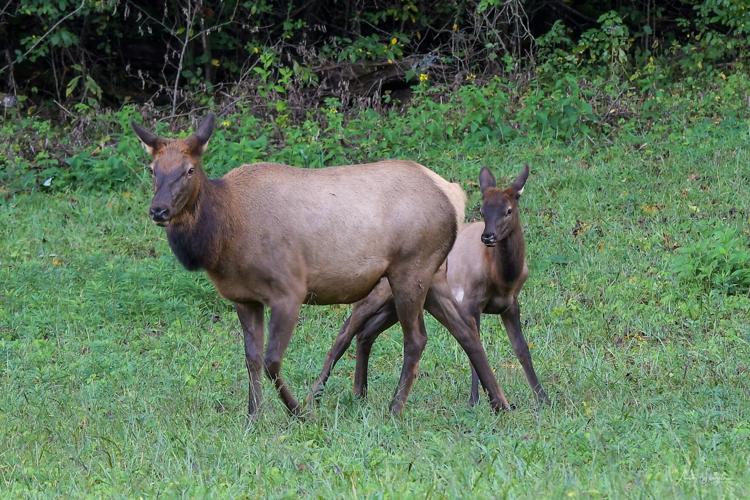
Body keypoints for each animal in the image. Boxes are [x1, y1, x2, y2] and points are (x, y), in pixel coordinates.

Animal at [131, 113, 512, 417]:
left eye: (189, 170)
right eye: (152, 170)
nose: (158, 210)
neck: (223, 235)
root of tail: (454, 195)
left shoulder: (288, 290)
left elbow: (271, 360)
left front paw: (299, 412)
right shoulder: (244, 298)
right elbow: (251, 358)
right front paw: (253, 418)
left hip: (411, 268)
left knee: (417, 338)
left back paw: (394, 408)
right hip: (432, 273)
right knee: (466, 330)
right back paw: (500, 403)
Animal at [308, 165, 549, 406]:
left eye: (508, 210)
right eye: (482, 211)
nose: (488, 236)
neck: (502, 277)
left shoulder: (510, 303)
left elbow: (522, 349)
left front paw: (542, 398)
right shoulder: (470, 300)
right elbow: (475, 345)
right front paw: (474, 401)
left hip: (397, 304)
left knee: (366, 333)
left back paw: (360, 393)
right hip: (376, 293)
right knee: (345, 333)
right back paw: (317, 397)